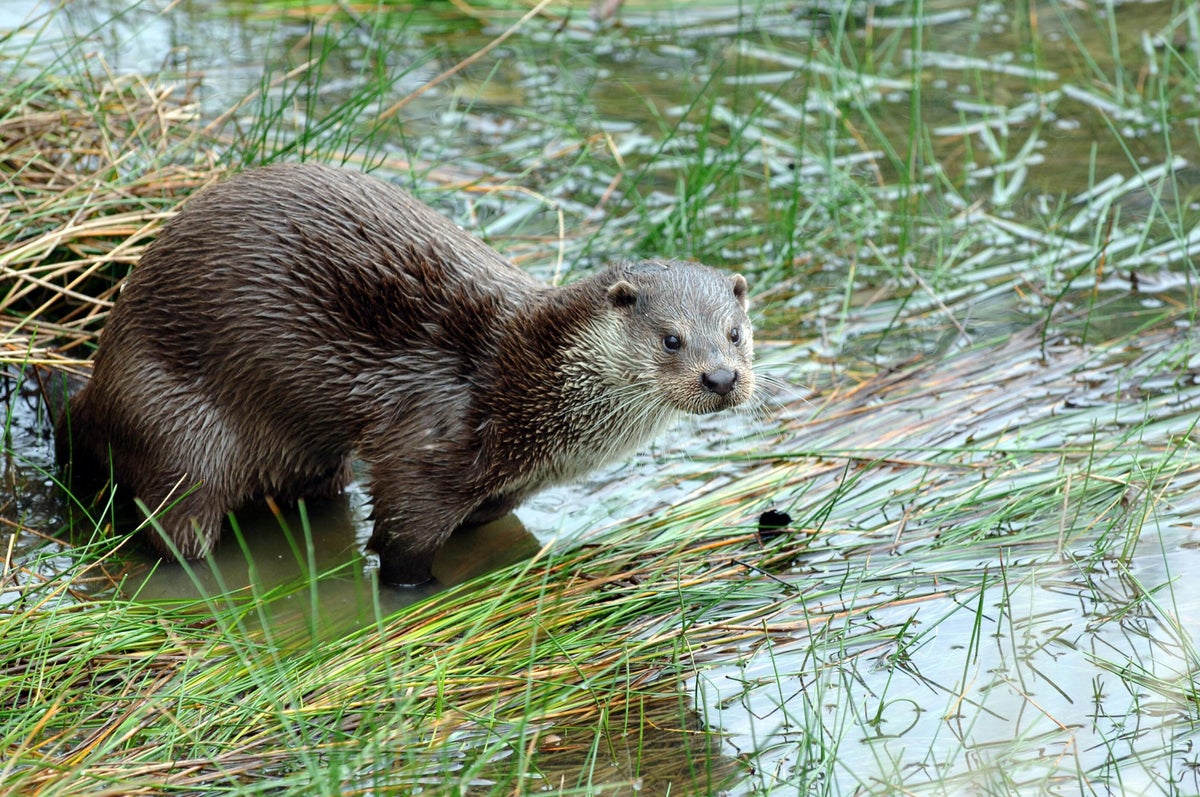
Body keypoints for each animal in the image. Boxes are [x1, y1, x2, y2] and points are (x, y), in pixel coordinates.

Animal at [56, 163, 755, 585]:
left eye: (734, 334)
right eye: (671, 339)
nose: (722, 379)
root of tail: (96, 384)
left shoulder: (511, 483)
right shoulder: (430, 444)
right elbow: (402, 542)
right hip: (177, 425)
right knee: (175, 521)